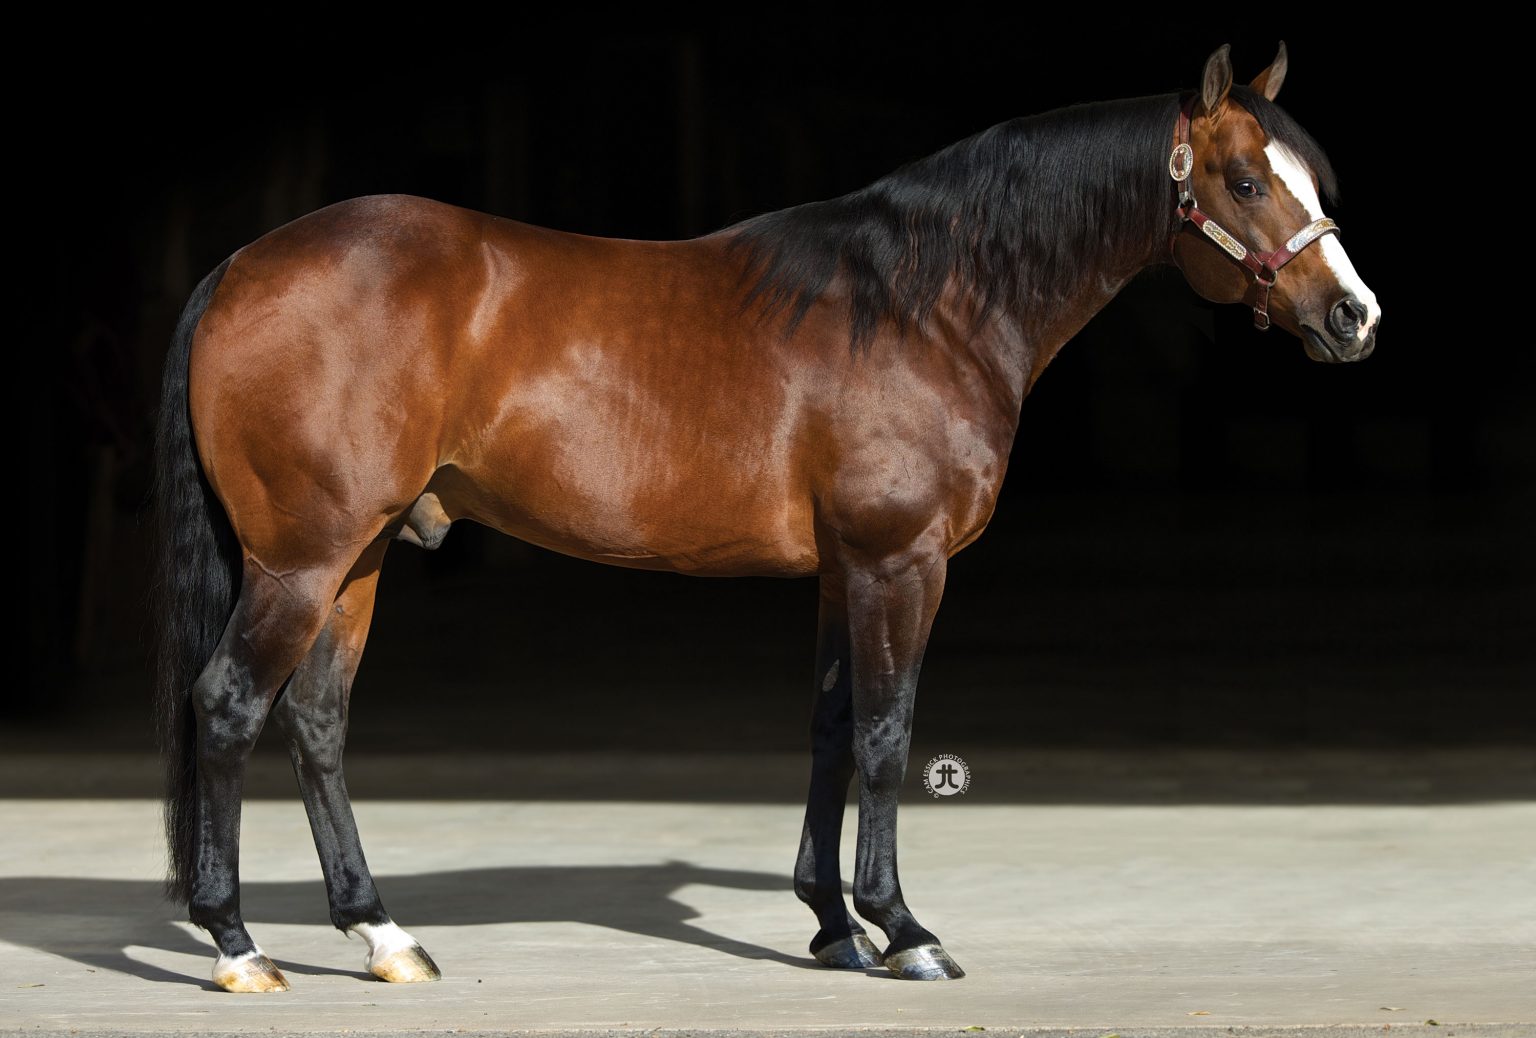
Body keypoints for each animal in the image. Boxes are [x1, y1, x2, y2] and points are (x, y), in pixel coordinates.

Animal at [152, 42, 1379, 993]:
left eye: (1305, 174)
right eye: (1244, 180)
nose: (1353, 316)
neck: (925, 304)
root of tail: (241, 264)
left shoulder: (846, 571)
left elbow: (833, 731)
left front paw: (834, 928)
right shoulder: (900, 563)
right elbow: (887, 736)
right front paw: (906, 932)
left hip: (355, 559)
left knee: (317, 724)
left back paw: (382, 935)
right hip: (301, 561)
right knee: (228, 706)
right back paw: (237, 945)